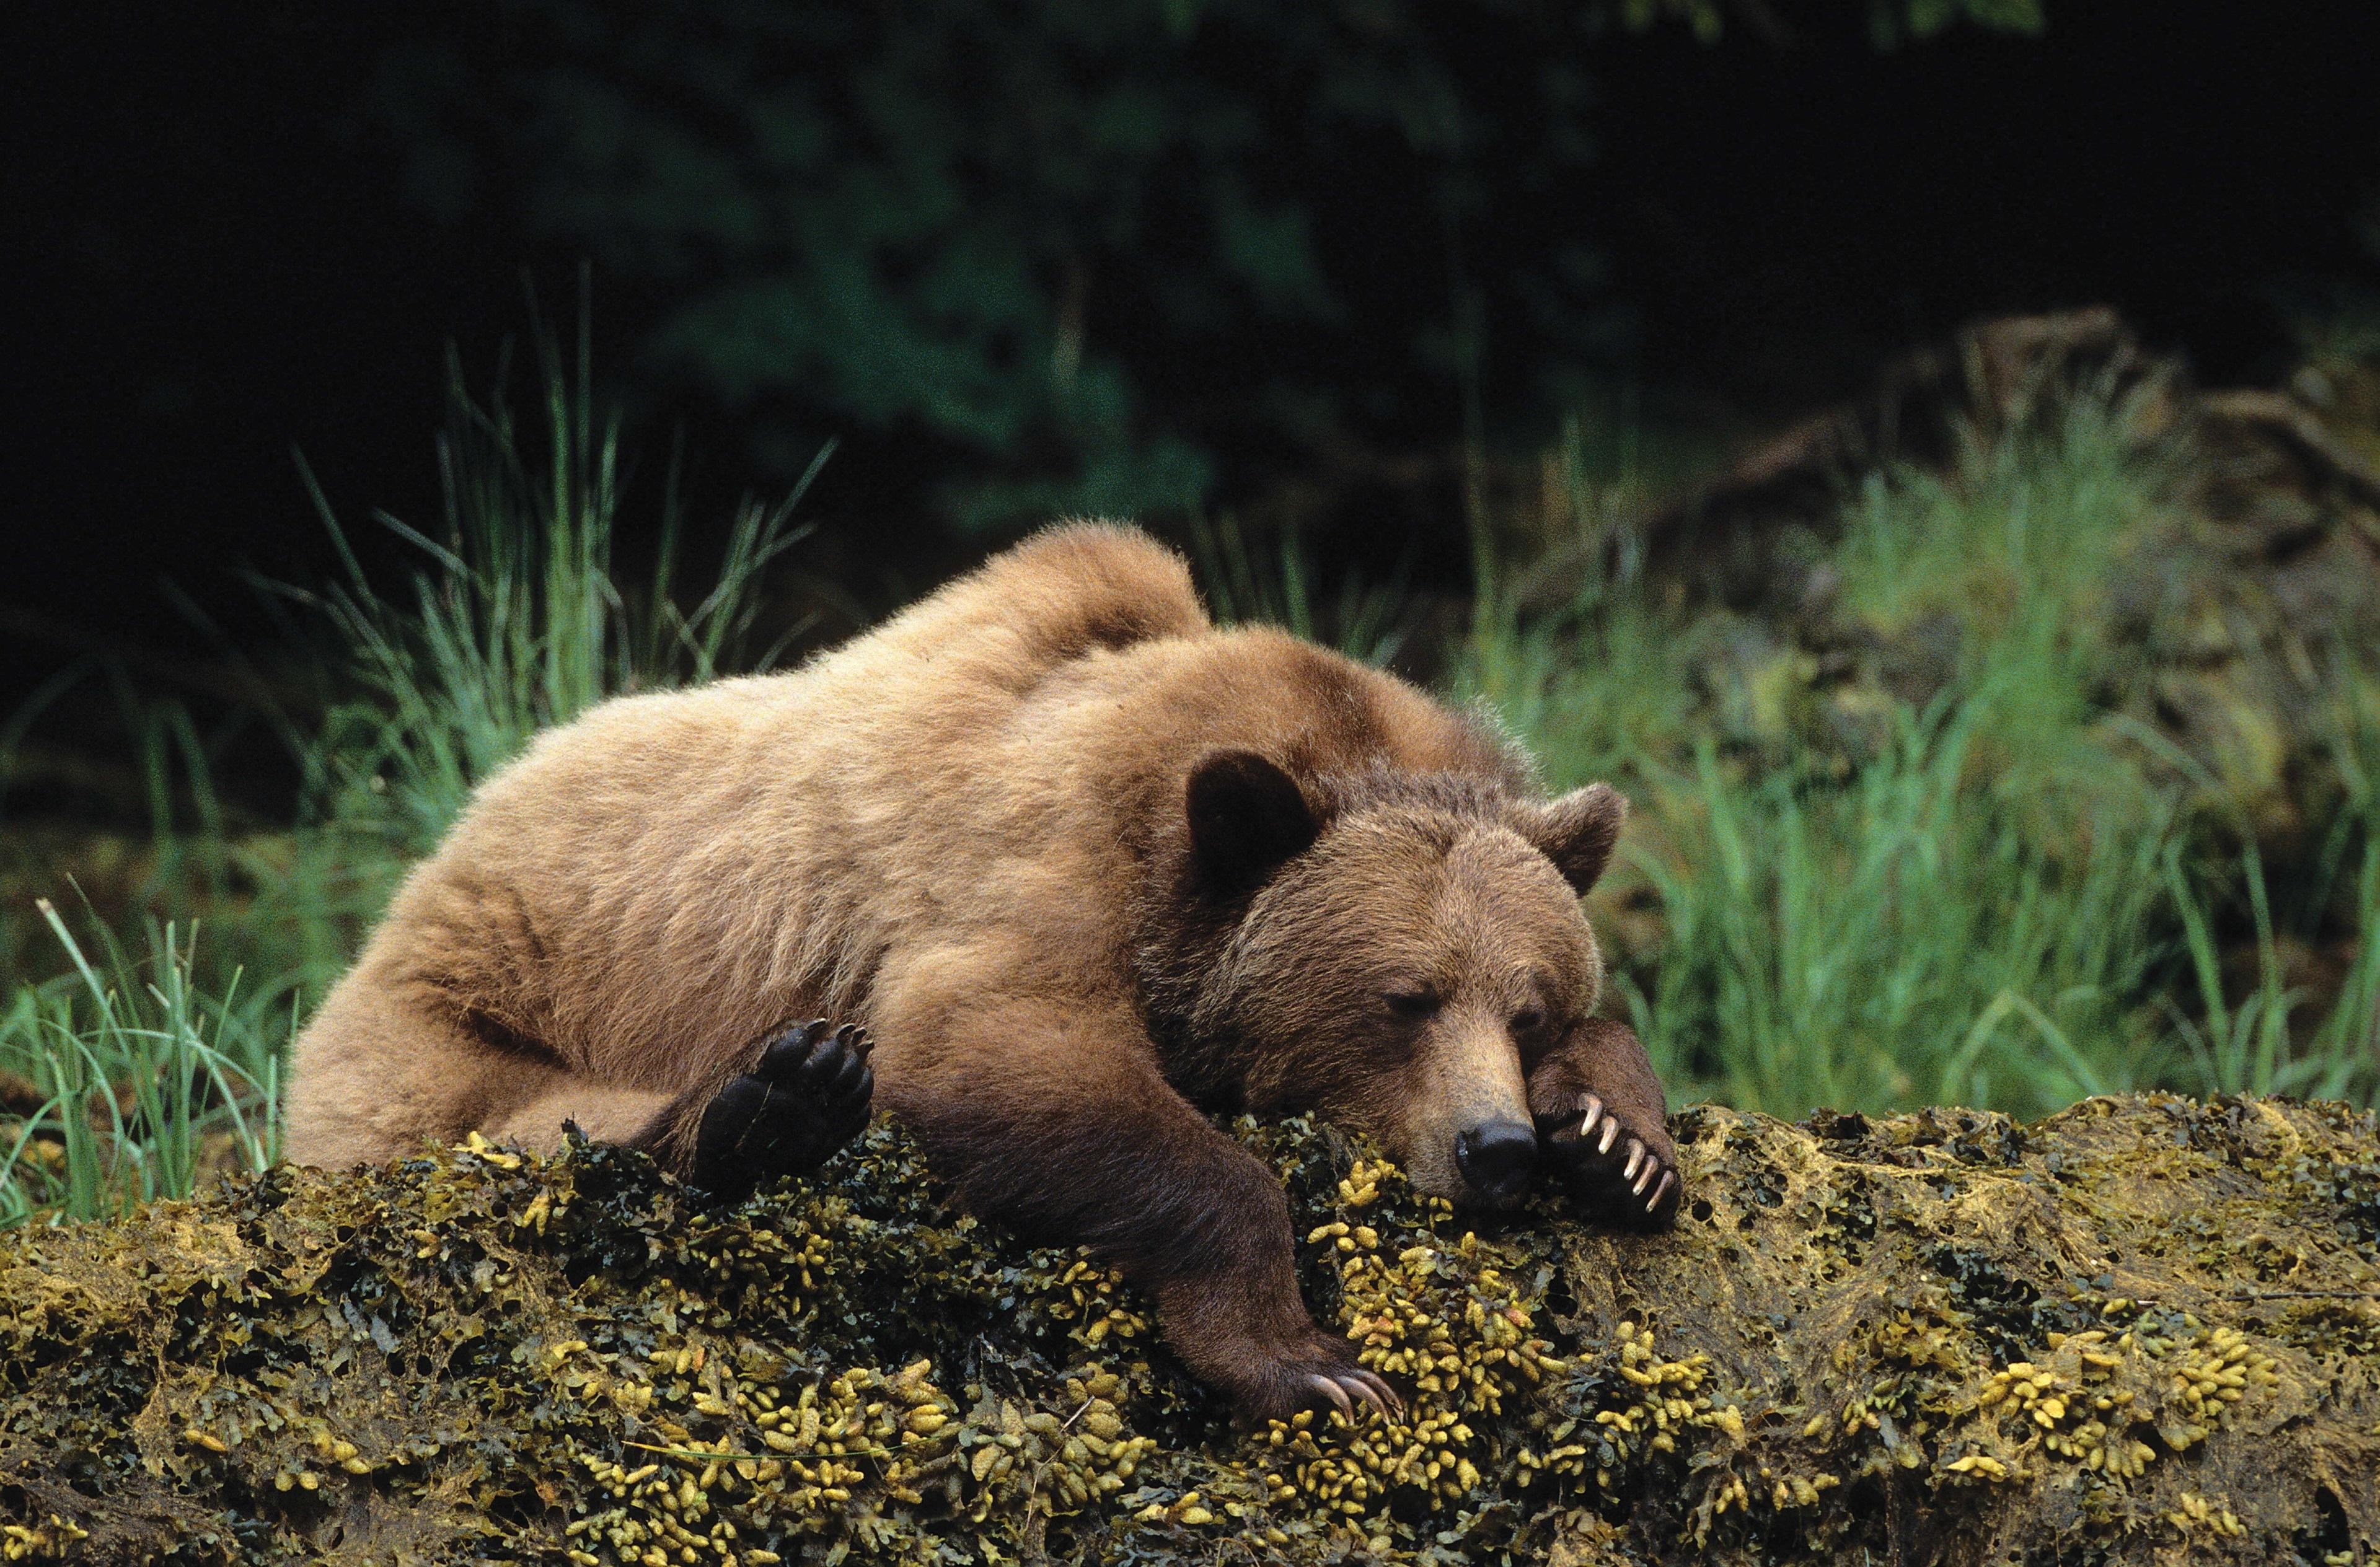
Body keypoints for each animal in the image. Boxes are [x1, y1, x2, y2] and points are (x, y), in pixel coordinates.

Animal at [284, 523, 1681, 1420]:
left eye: (1529, 1003)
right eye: (1402, 999)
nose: (1496, 1148)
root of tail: (440, 847)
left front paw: (1619, 1139)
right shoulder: (1043, 867)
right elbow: (995, 1048)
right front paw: (1312, 1358)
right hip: (442, 1025)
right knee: (536, 1124)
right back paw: (774, 1098)